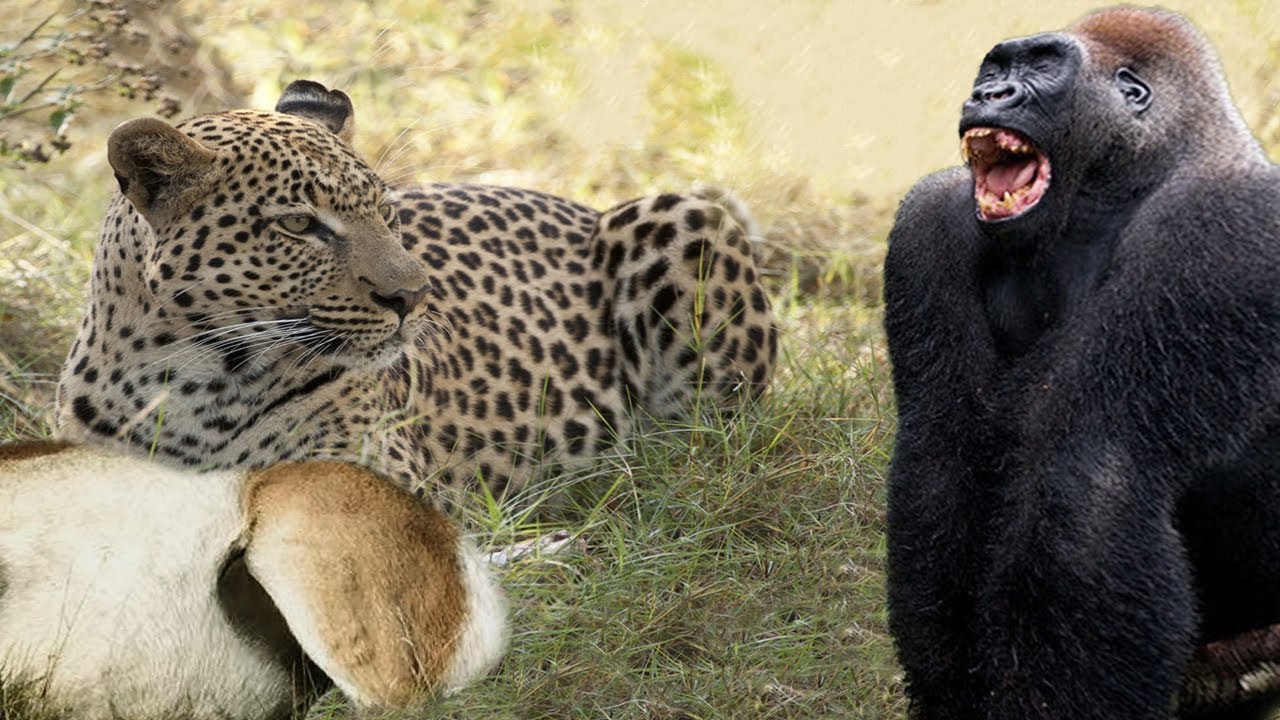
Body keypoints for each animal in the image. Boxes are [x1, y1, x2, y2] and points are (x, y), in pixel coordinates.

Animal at [56, 80, 776, 499]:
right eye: (298, 225)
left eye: (386, 210)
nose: (413, 296)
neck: (193, 379)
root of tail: (584, 208)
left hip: (686, 219)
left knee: (713, 437)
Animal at [882, 7, 1280, 720]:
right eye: (994, 69)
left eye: (1042, 67)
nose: (988, 95)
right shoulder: (931, 223)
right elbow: (941, 458)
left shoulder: (1217, 230)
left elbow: (1094, 472)